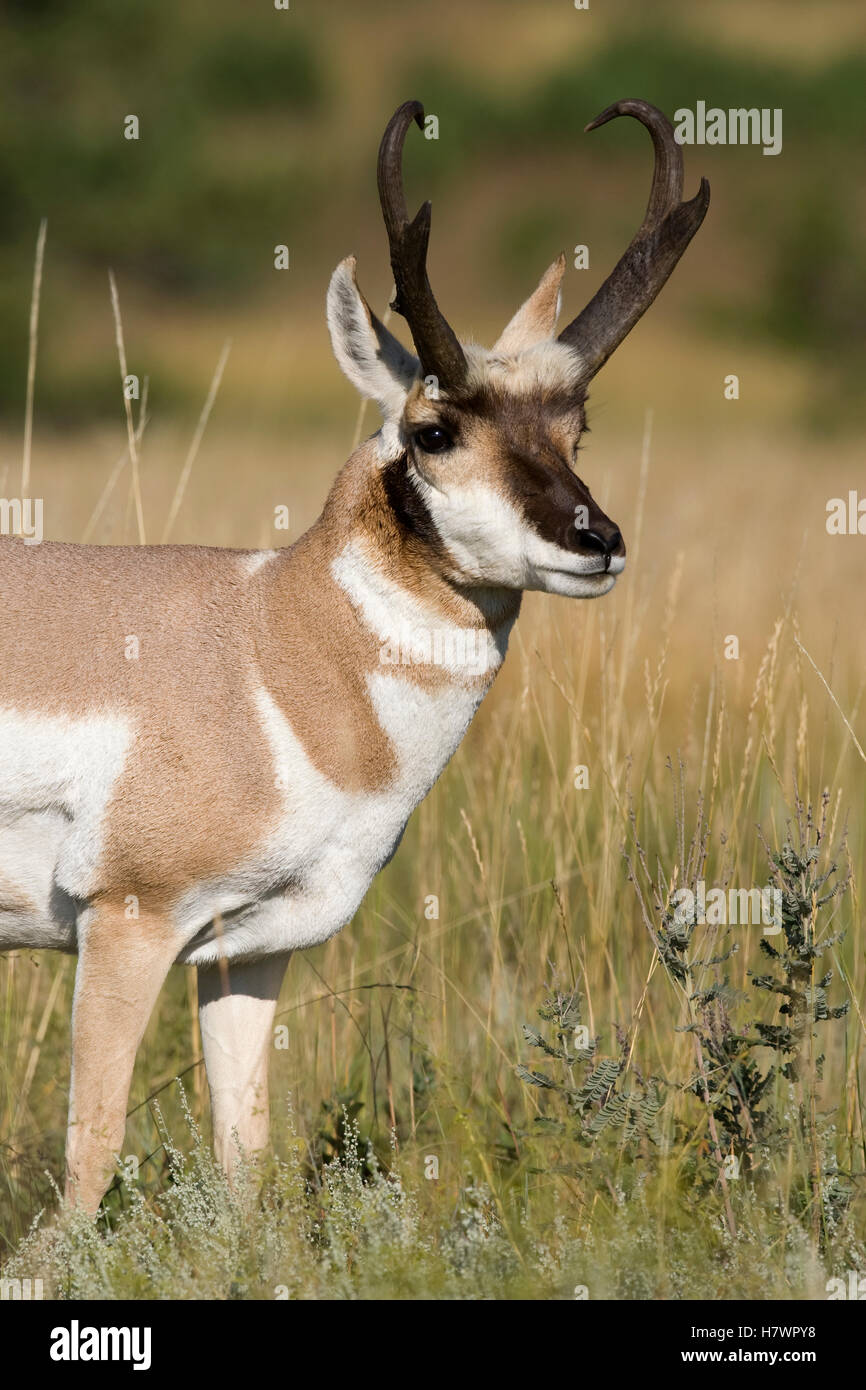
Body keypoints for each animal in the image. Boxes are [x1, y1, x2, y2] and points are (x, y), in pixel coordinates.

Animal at [0, 99, 708, 1213]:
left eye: (575, 426)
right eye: (433, 430)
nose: (594, 540)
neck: (272, 639)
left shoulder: (244, 953)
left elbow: (244, 1157)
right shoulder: (128, 920)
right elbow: (90, 1155)